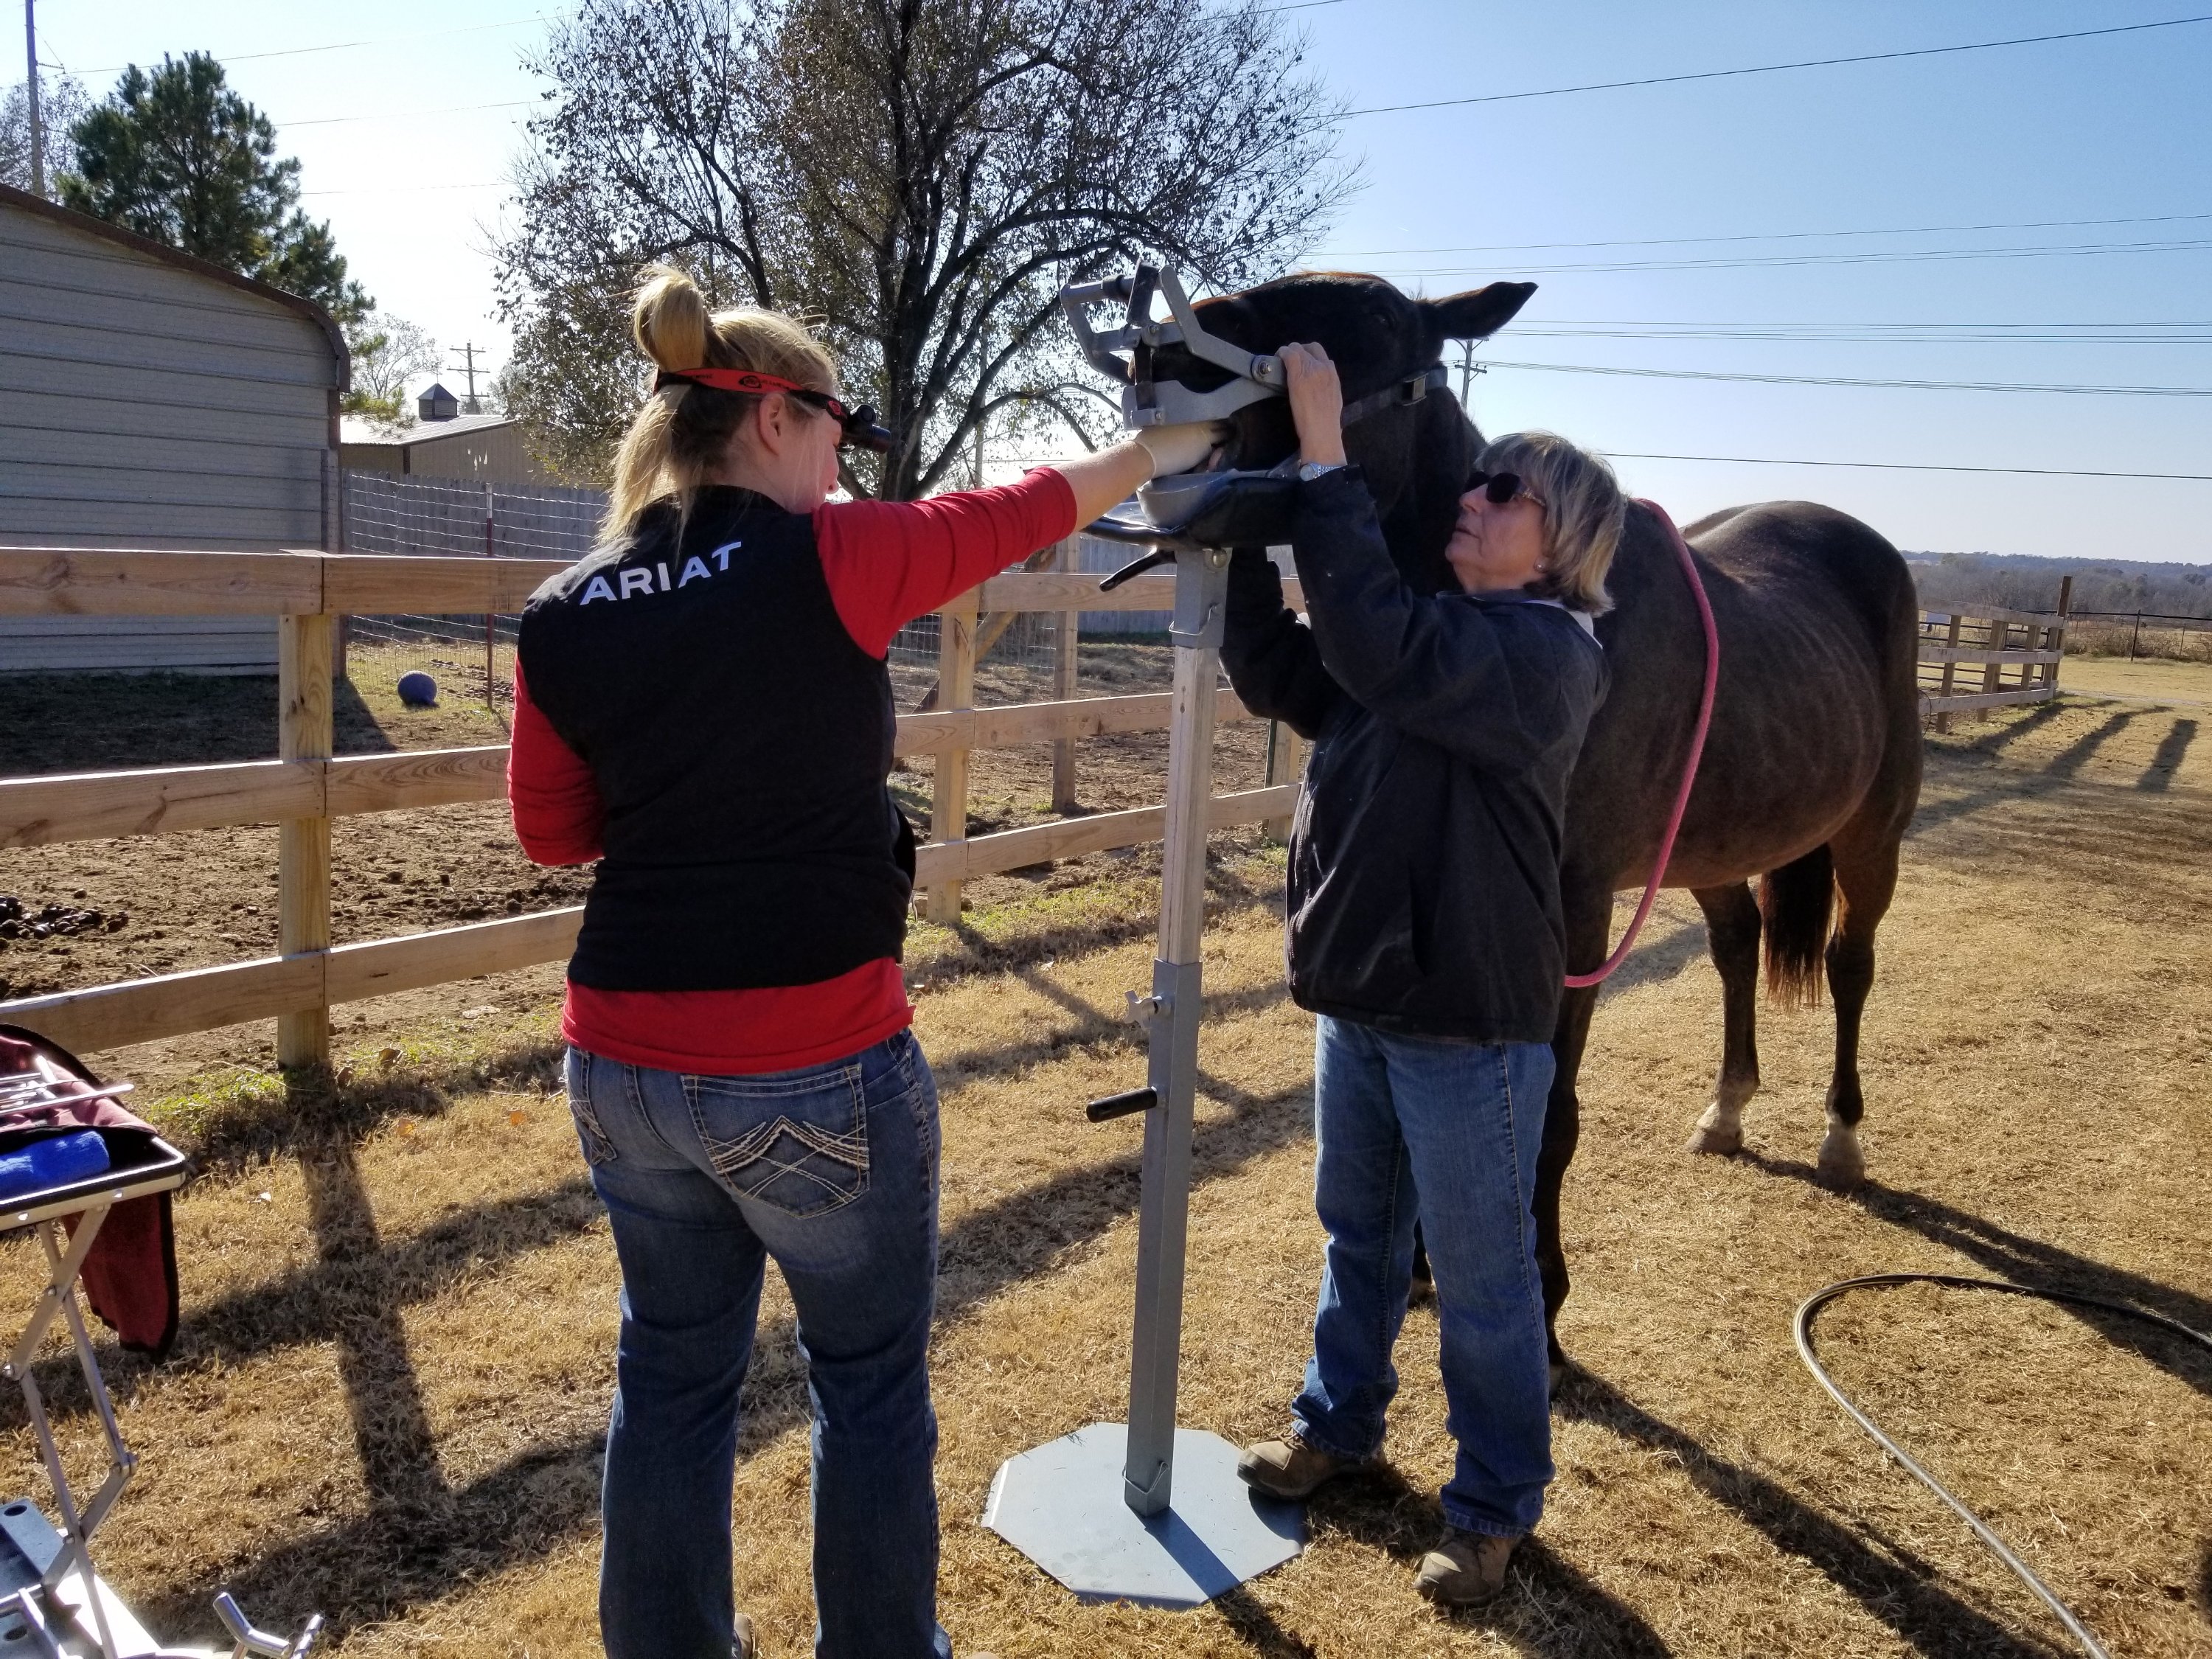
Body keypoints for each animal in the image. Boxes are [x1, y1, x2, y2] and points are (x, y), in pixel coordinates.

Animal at [1153, 270, 1923, 1368]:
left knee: (1854, 966)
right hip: (1711, 853)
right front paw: (1427, 1266)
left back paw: (1843, 1134)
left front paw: (1545, 1305)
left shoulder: (1576, 911)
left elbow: (1548, 1115)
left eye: (1377, 323)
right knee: (1737, 950)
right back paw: (1728, 1110)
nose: (1168, 353)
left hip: (1871, 838)